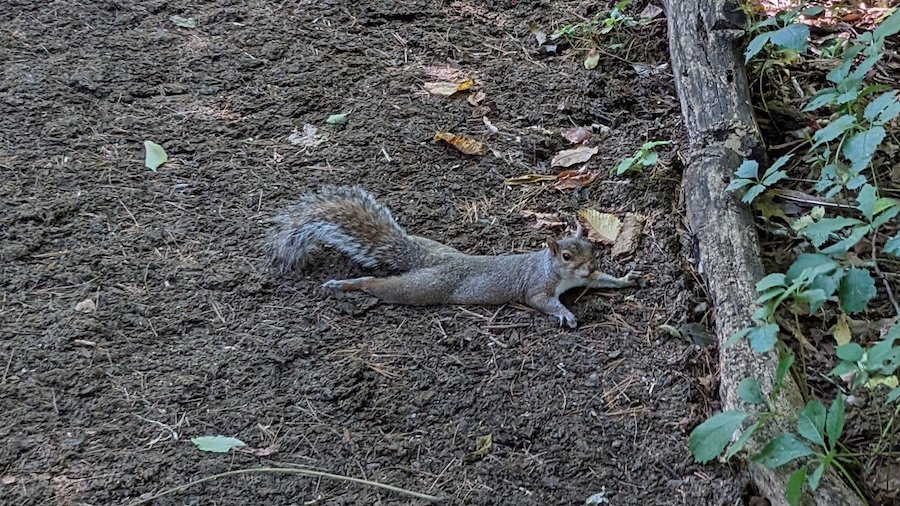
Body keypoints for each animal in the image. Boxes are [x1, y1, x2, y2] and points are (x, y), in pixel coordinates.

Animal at [265, 186, 640, 328]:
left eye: (593, 248)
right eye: (565, 255)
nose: (590, 265)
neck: (563, 276)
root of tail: (432, 261)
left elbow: (604, 281)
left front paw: (624, 279)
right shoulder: (537, 285)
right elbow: (540, 301)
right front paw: (564, 313)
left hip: (433, 249)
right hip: (422, 287)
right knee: (380, 284)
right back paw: (348, 284)